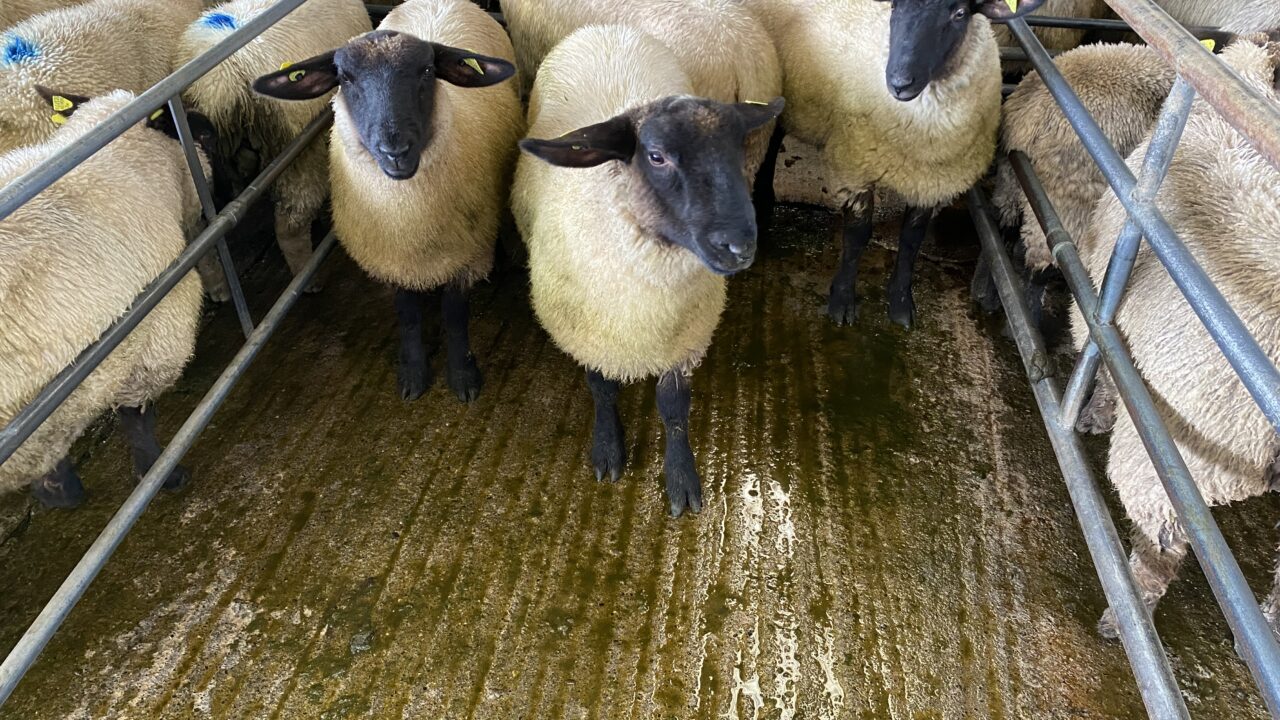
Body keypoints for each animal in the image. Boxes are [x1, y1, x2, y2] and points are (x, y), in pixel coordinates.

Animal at [0, 89, 209, 508]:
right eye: (200, 134)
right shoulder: (160, 322)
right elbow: (137, 414)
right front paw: (159, 472)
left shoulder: (41, 404)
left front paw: (55, 490)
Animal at [176, 0, 372, 300]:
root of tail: (219, 83)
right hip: (297, 152)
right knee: (289, 226)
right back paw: (306, 277)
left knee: (197, 240)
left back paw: (217, 286)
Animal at [252, 0, 522, 403]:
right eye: (345, 77)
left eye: (427, 70)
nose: (395, 150)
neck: (408, 220)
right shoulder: (392, 256)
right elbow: (407, 314)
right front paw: (413, 373)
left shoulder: (466, 255)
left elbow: (455, 316)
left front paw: (462, 376)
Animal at [512, 24, 783, 517]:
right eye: (656, 156)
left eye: (737, 152)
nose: (740, 247)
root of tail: (605, 29)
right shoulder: (589, 332)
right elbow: (601, 388)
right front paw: (607, 450)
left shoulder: (685, 338)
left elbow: (674, 407)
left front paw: (681, 478)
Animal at [746, 0, 1044, 329]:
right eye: (894, 8)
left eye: (960, 14)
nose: (899, 83)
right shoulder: (855, 165)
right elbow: (857, 235)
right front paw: (842, 301)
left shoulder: (933, 179)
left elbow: (912, 239)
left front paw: (901, 302)